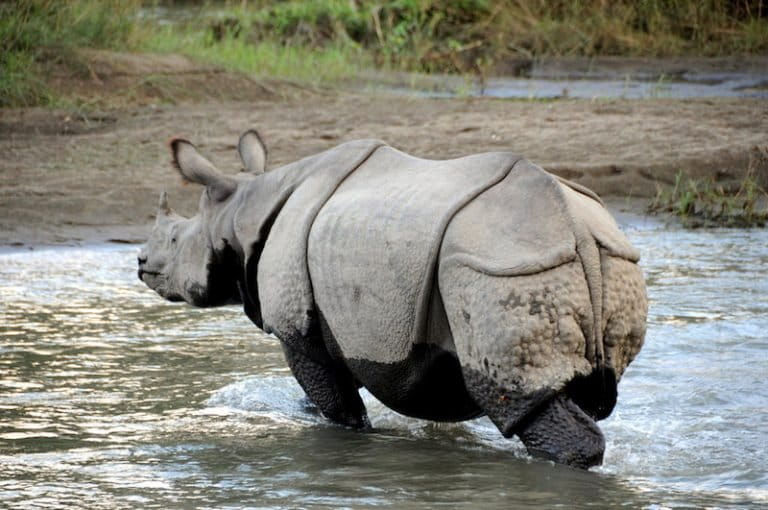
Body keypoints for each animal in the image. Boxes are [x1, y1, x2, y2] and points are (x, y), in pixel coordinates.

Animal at [138, 130, 647, 469]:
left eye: (176, 239)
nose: (140, 262)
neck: (244, 207)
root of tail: (577, 229)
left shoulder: (297, 331)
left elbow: (335, 404)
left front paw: (348, 440)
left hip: (503, 266)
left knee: (518, 397)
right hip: (603, 259)